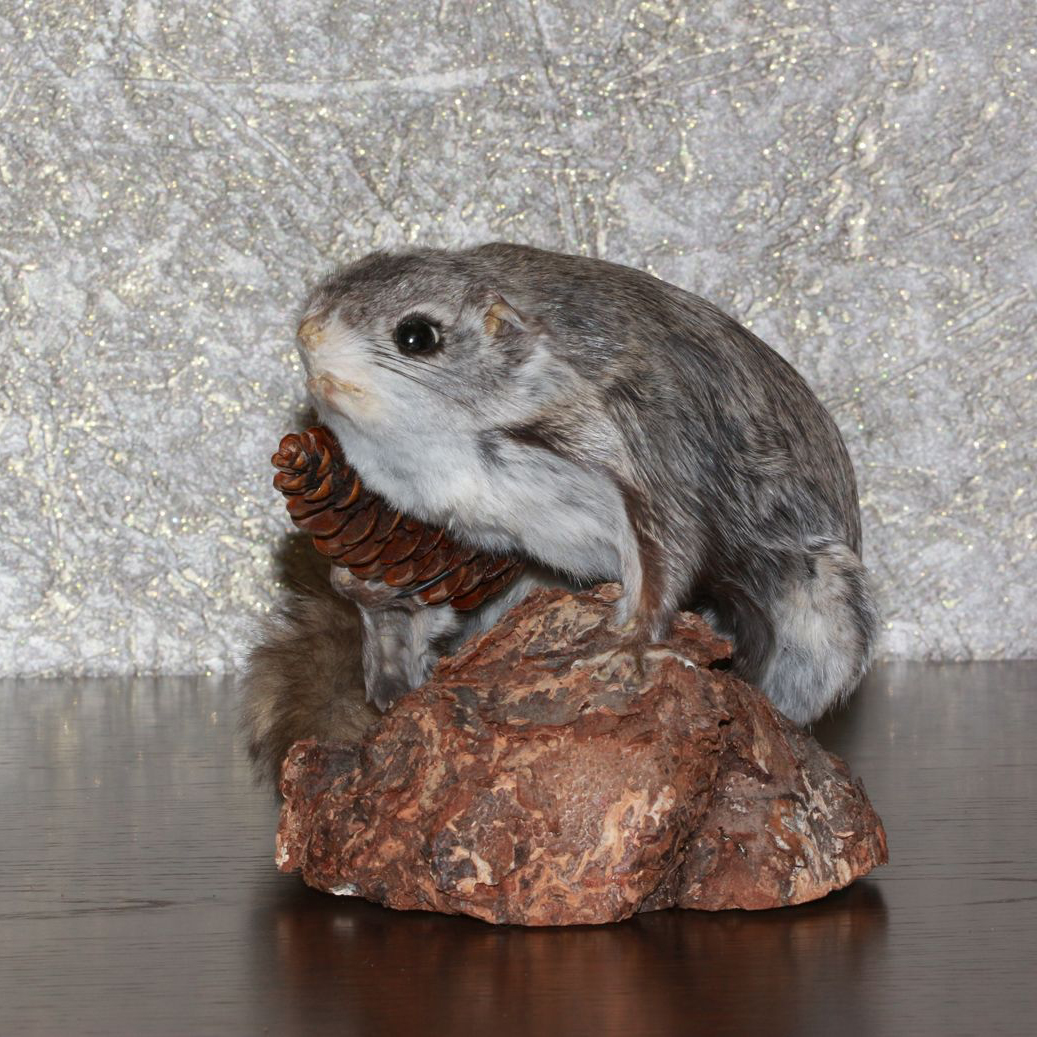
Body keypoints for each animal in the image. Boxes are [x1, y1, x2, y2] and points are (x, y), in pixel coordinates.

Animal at [240, 242, 878, 787]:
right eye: (338, 276)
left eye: (416, 335)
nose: (308, 328)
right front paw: (374, 600)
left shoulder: (647, 444)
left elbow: (668, 552)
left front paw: (630, 646)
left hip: (823, 620)